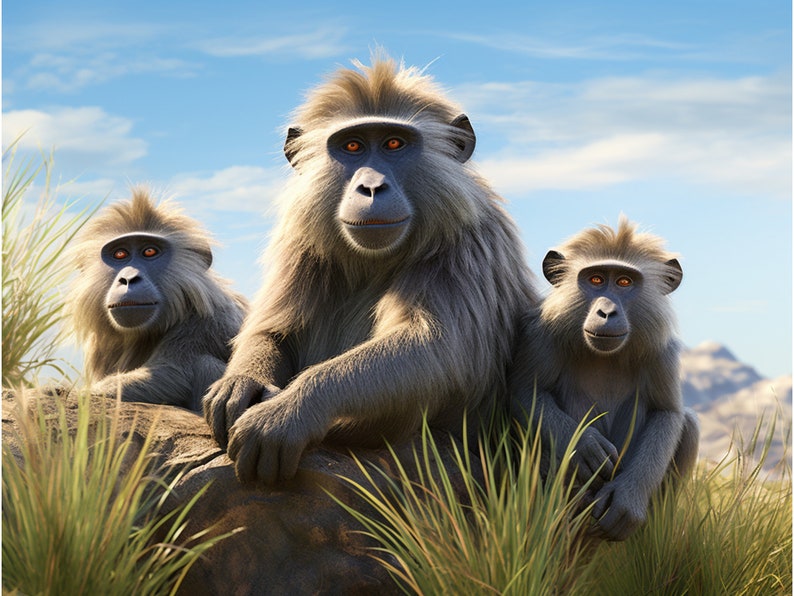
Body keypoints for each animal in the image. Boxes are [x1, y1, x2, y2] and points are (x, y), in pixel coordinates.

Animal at [68, 188, 248, 411]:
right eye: (120, 254)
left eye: (149, 251)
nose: (128, 279)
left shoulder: (209, 318)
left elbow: (172, 373)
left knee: (204, 364)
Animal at [203, 53, 539, 485]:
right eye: (353, 146)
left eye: (394, 143)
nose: (372, 187)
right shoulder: (302, 244)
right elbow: (275, 330)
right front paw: (242, 382)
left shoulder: (469, 238)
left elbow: (441, 348)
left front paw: (288, 410)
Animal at [509, 216, 699, 541]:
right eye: (596, 279)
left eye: (624, 282)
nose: (606, 311)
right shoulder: (543, 331)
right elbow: (526, 394)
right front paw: (584, 444)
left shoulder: (661, 349)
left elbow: (667, 413)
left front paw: (627, 500)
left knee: (689, 425)